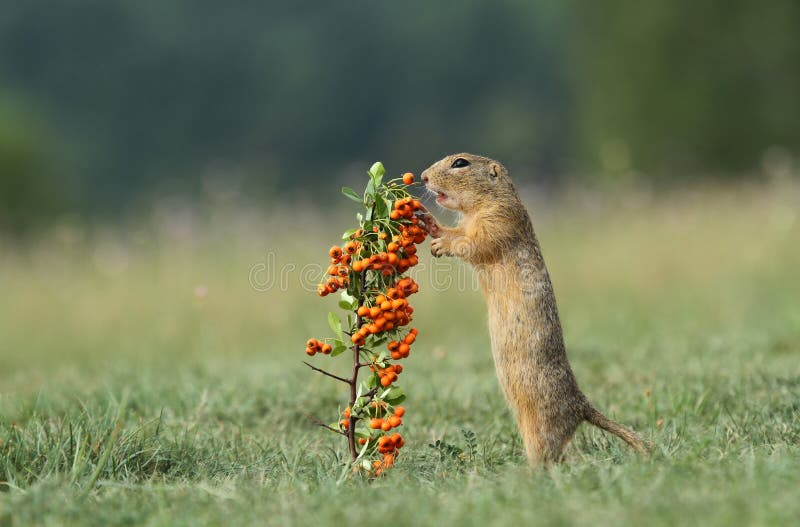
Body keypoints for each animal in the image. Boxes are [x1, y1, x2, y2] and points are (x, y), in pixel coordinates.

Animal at [415, 153, 647, 464]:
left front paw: (442, 245)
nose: (424, 177)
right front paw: (430, 223)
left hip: (540, 424)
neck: (484, 202)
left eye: (460, 163)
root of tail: (581, 405)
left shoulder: (500, 220)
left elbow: (473, 243)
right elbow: (458, 232)